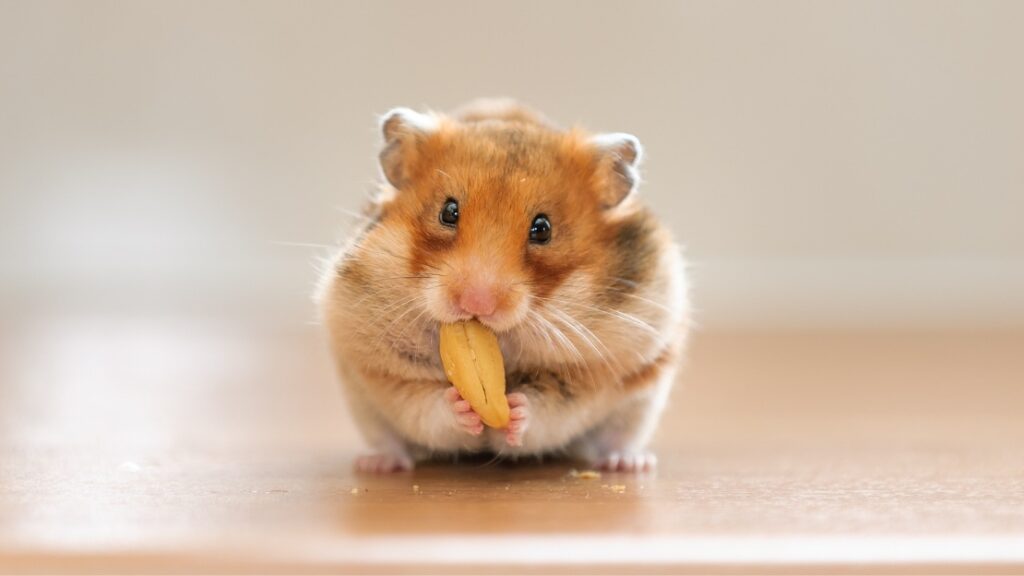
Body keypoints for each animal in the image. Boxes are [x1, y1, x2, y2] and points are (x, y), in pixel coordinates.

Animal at [317, 99, 690, 473]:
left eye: (543, 229)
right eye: (448, 212)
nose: (476, 304)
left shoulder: (596, 372)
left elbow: (550, 408)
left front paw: (515, 411)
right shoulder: (379, 366)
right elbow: (424, 404)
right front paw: (461, 406)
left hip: (641, 403)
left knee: (617, 438)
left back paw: (629, 464)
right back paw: (378, 464)